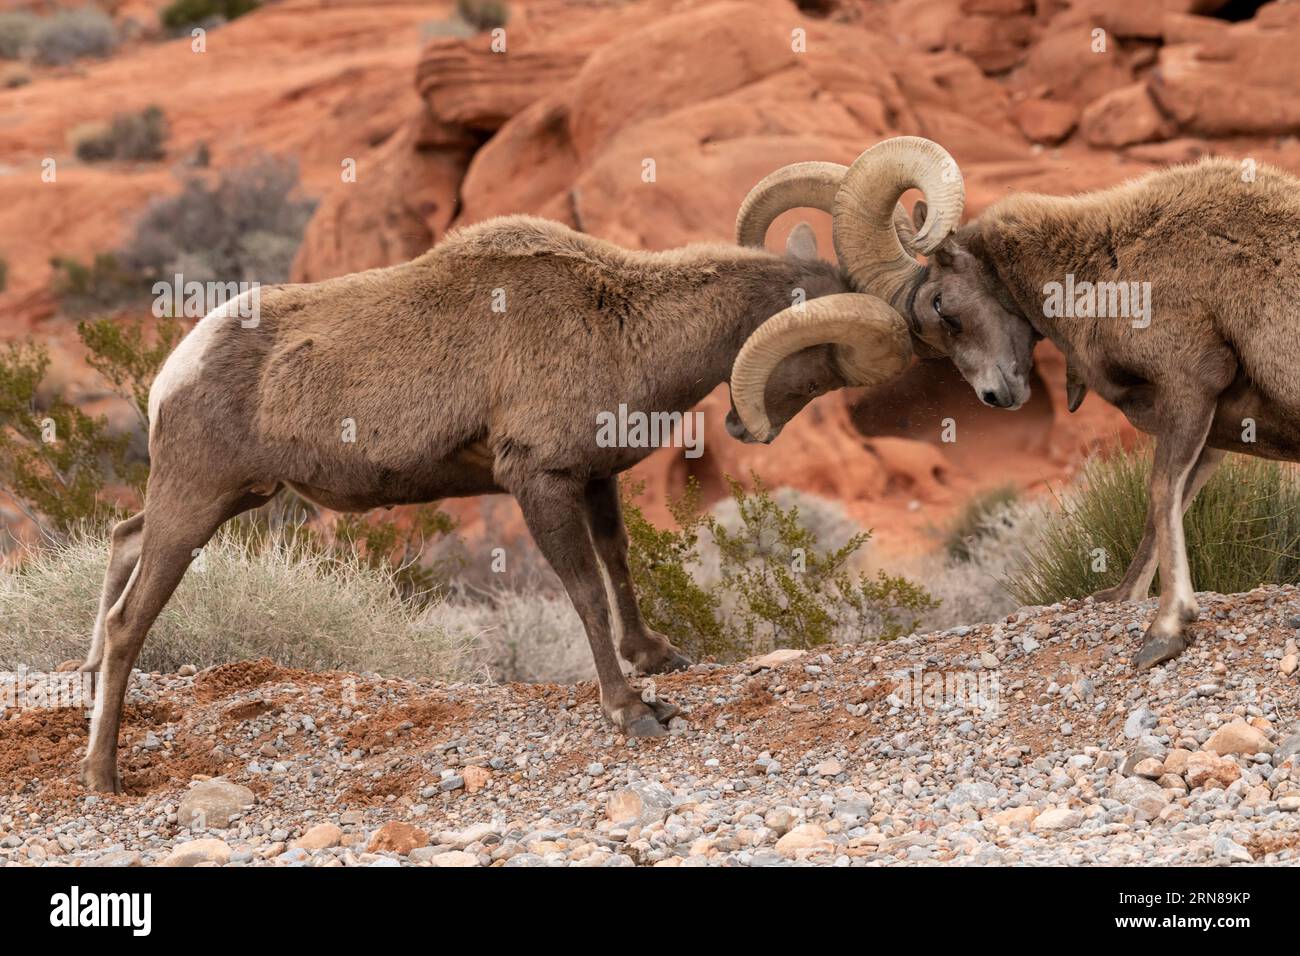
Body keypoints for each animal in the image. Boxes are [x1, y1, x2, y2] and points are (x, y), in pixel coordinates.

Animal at [75, 207, 936, 793]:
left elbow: (618, 566)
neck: (620, 322)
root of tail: (175, 372)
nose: (742, 426)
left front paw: (658, 659)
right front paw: (633, 712)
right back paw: (104, 776)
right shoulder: (538, 484)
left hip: (223, 502)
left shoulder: (594, 479)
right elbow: (584, 589)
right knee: (128, 622)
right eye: (829, 359)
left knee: (121, 539)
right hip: (197, 505)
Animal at [734, 142, 1300, 671]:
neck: (1105, 265)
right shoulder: (1211, 430)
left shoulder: (1189, 388)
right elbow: (1167, 508)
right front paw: (1121, 598)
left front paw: (1164, 635)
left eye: (942, 308)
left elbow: (1161, 492)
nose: (995, 396)